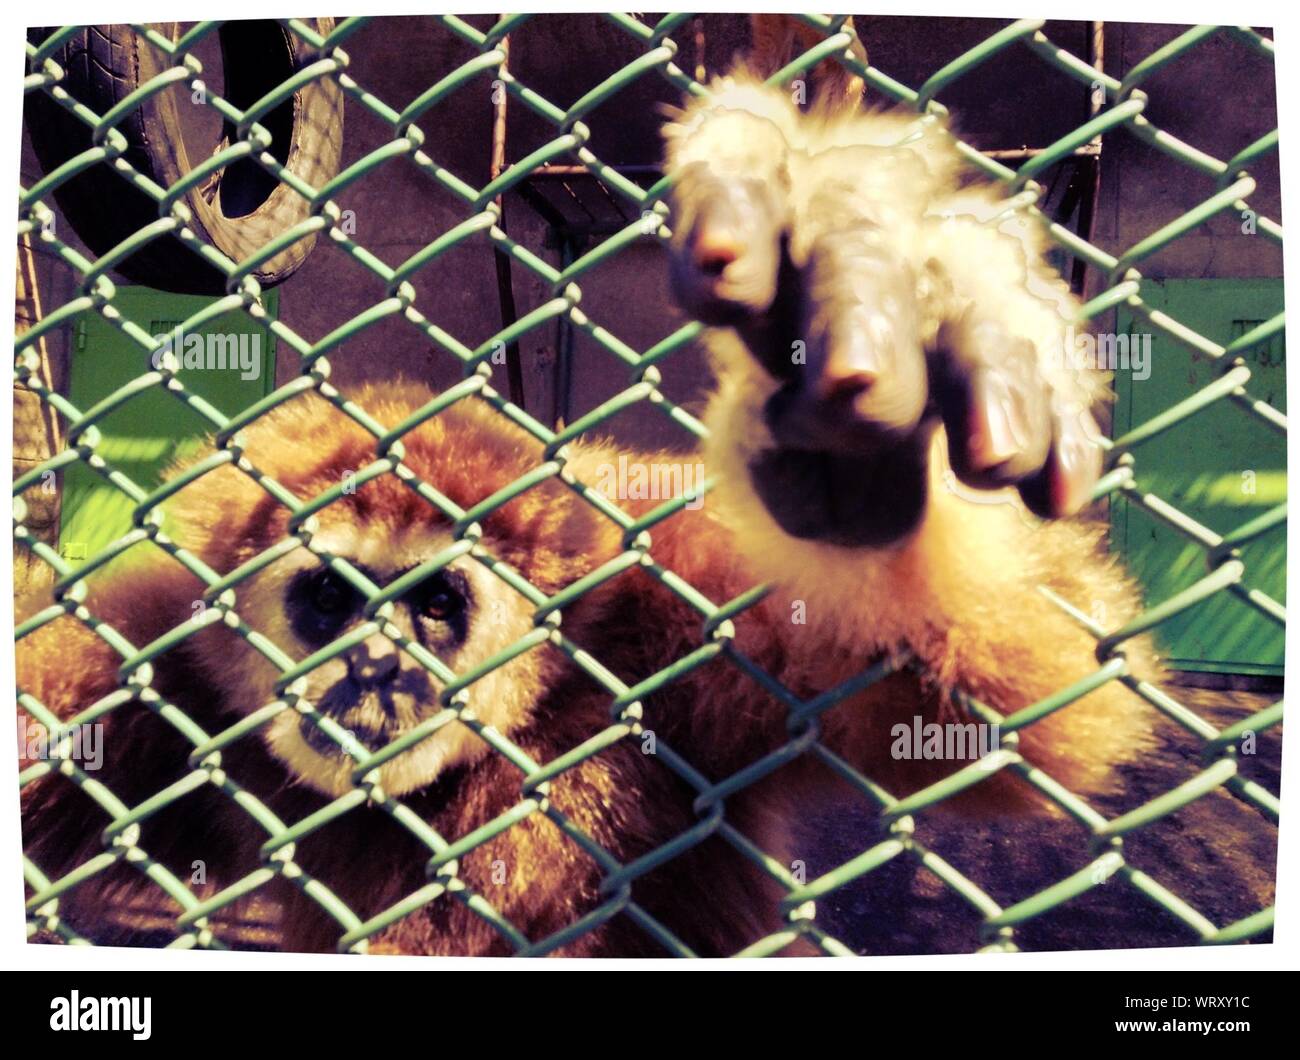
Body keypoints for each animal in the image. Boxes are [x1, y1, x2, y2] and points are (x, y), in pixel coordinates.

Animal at [15, 68, 1272, 957]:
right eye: (332, 596)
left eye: (434, 604)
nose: (372, 666)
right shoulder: (159, 649)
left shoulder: (682, 620)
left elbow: (1022, 698)